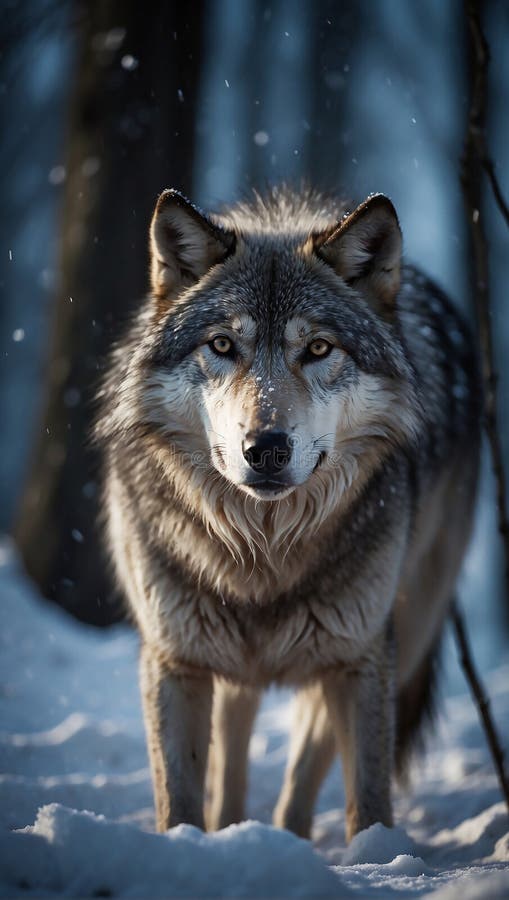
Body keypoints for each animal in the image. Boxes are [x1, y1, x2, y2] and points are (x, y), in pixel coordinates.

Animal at [95, 185, 481, 842]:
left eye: (318, 348)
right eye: (223, 345)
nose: (266, 448)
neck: (263, 555)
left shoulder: (359, 656)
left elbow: (366, 801)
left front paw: (376, 856)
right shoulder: (175, 660)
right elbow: (180, 801)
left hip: (401, 632)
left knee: (299, 778)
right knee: (234, 752)